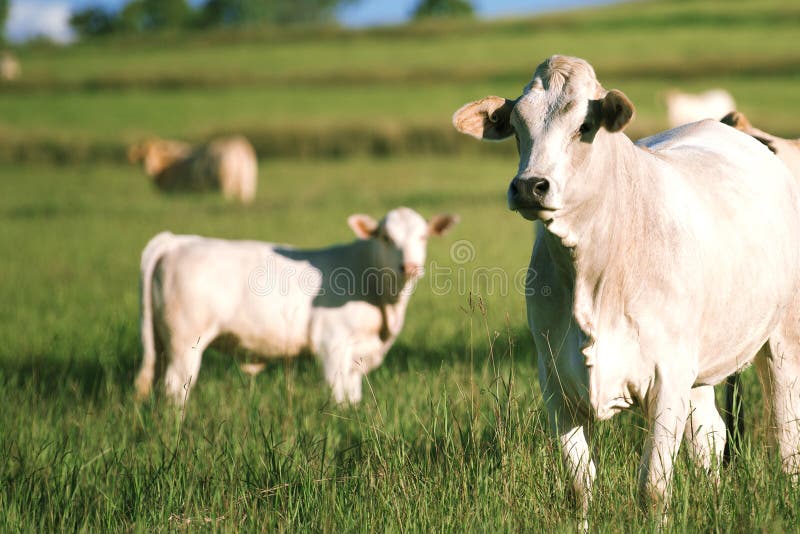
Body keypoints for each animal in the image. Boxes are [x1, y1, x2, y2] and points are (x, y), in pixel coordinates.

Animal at [128, 136, 258, 204]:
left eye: (155, 153)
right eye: (142, 157)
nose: (148, 168)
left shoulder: (175, 191)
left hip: (225, 187)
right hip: (247, 188)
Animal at [135, 207, 458, 406]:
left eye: (423, 236)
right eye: (386, 237)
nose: (410, 266)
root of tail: (176, 240)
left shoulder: (357, 356)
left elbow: (353, 398)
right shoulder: (332, 344)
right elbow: (338, 397)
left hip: (163, 344)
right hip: (185, 344)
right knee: (174, 389)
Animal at [452, 55, 800, 520]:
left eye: (584, 125)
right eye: (518, 127)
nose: (529, 186)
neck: (593, 277)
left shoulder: (667, 383)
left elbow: (652, 489)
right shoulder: (556, 385)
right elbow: (579, 488)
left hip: (781, 343)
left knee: (786, 439)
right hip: (699, 371)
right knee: (711, 437)